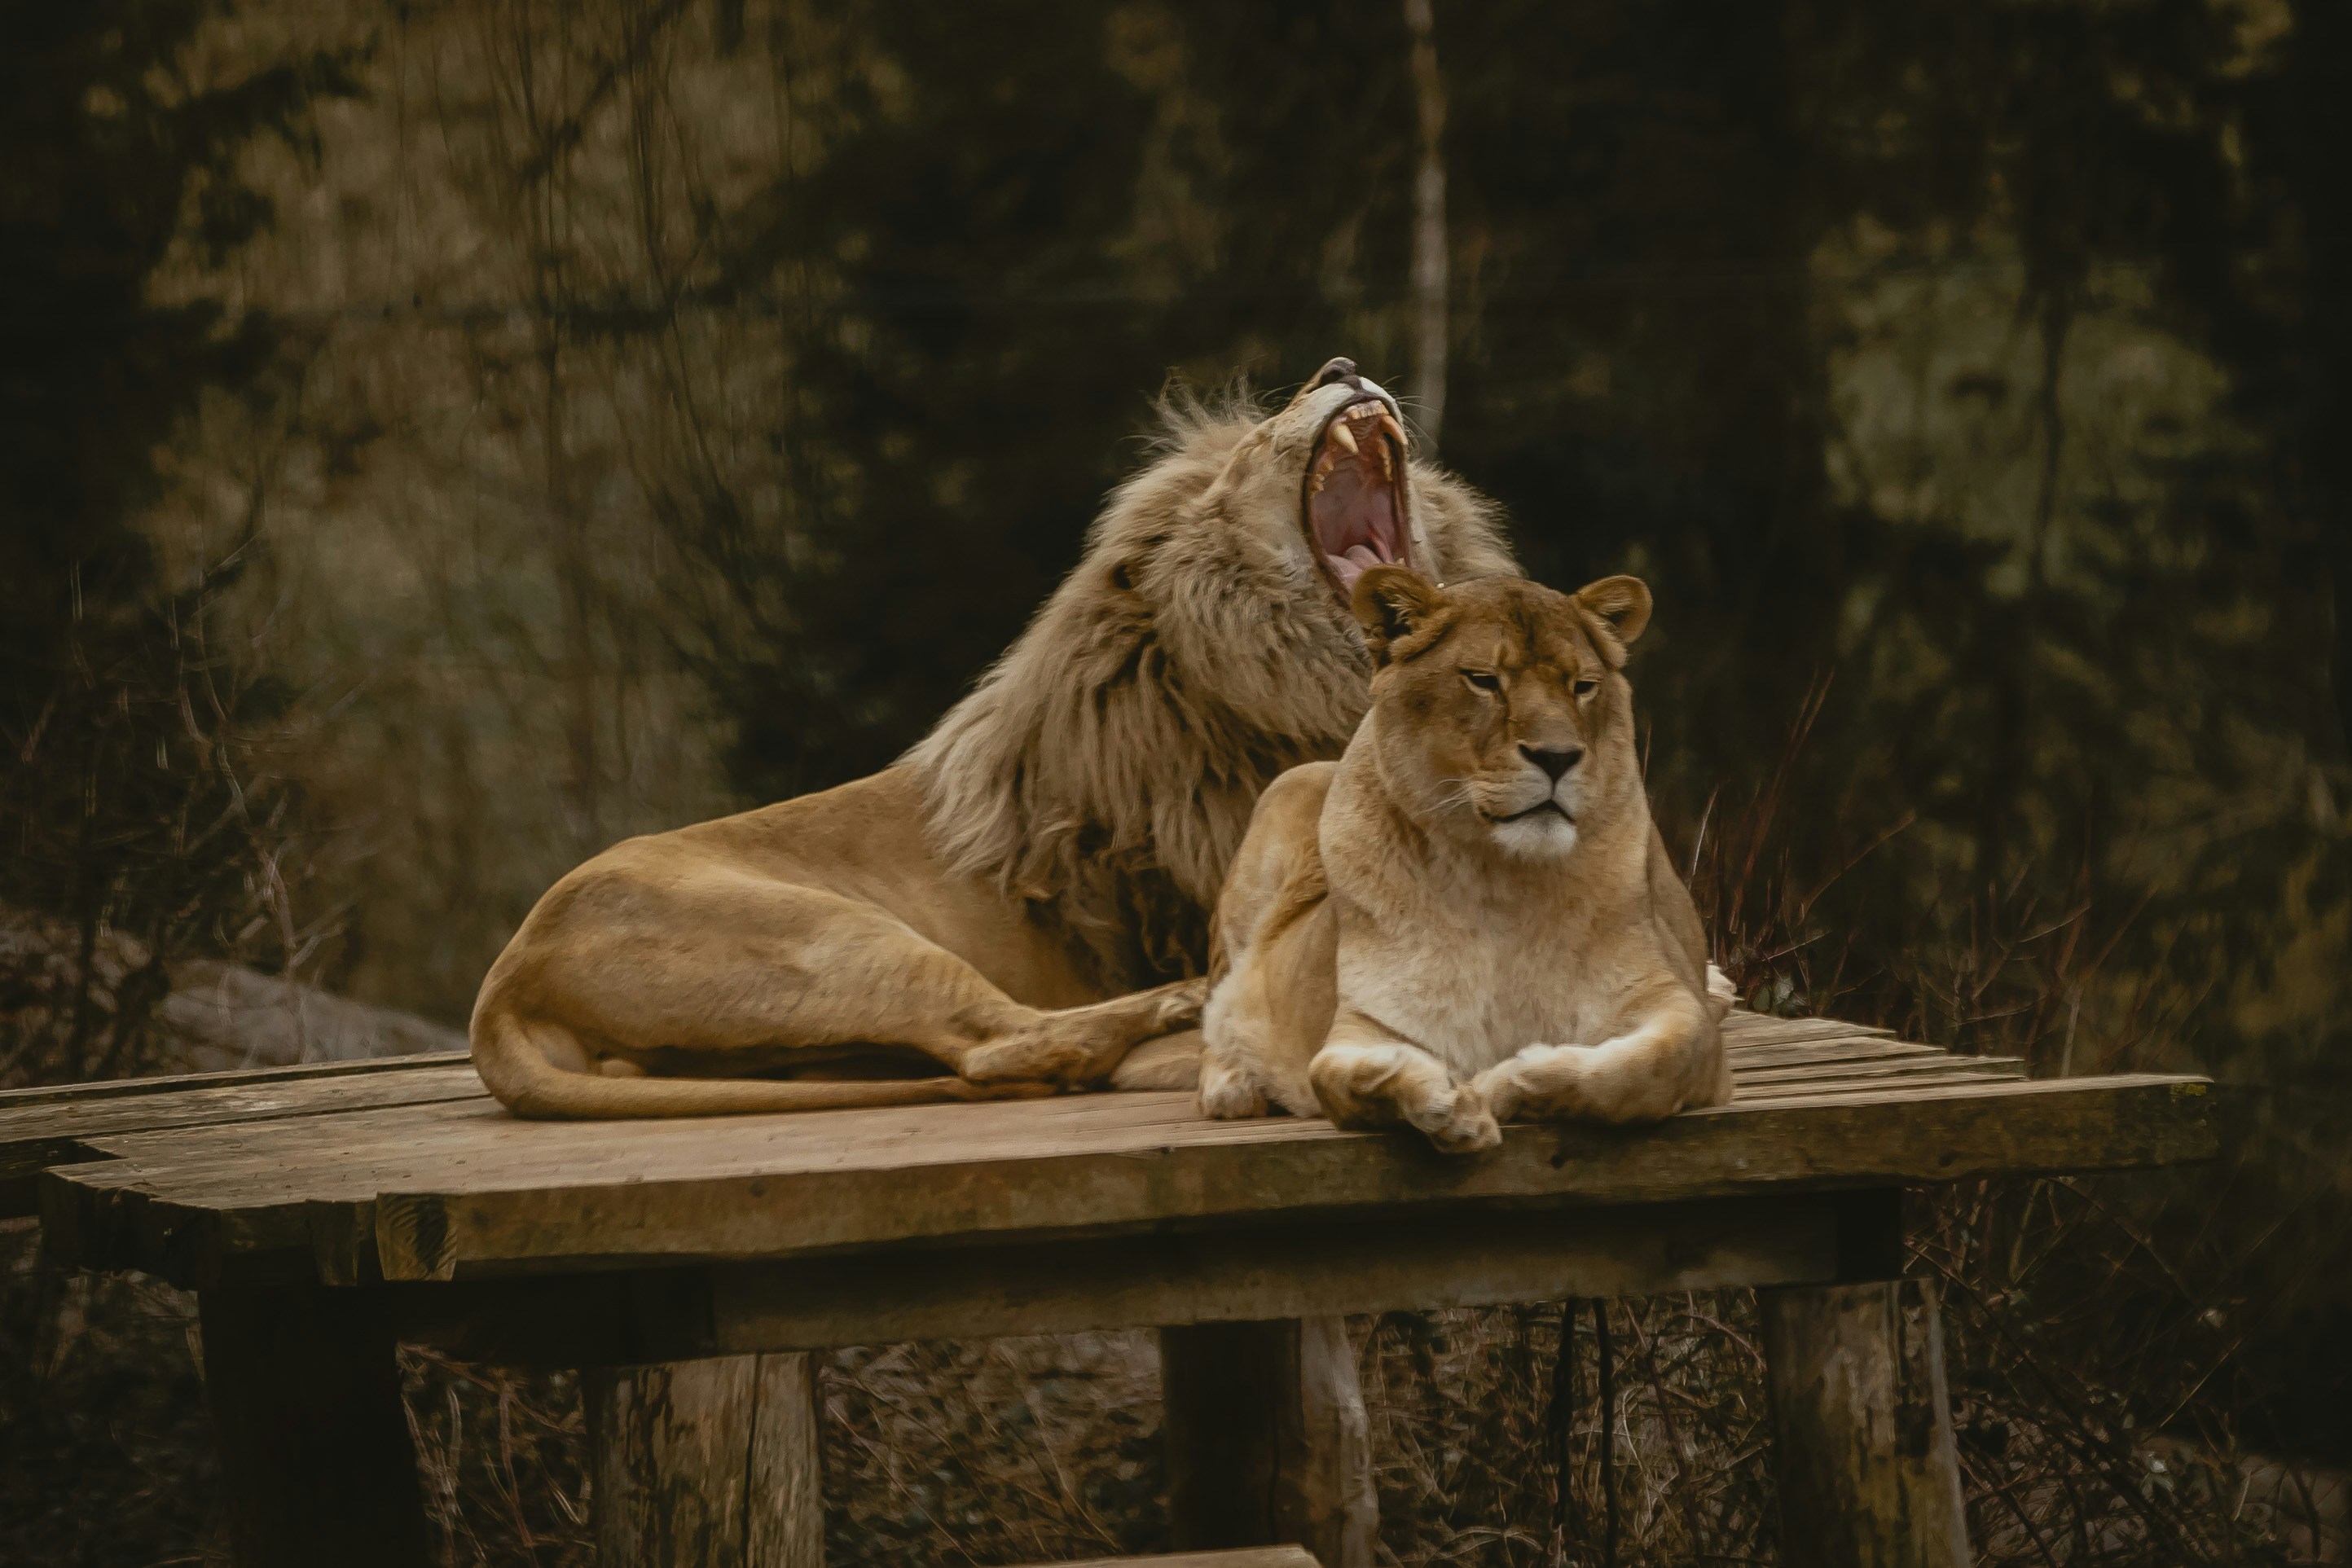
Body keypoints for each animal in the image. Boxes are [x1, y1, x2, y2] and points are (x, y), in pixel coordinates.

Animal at [470, 359, 1520, 1116]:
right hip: (836, 938)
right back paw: (1176, 1006)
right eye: (1262, 437)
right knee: (1000, 1043)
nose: (1339, 365)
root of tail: (506, 982)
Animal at [1197, 566, 1736, 1152]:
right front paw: (1448, 1105)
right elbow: (1339, 1078)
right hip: (1281, 798)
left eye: (1583, 686)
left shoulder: (1676, 1011)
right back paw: (1231, 1085)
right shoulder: (1365, 1025)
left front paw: (1505, 1081)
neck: (1497, 876)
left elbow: (1639, 1073)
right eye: (1483, 680)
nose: (1557, 757)